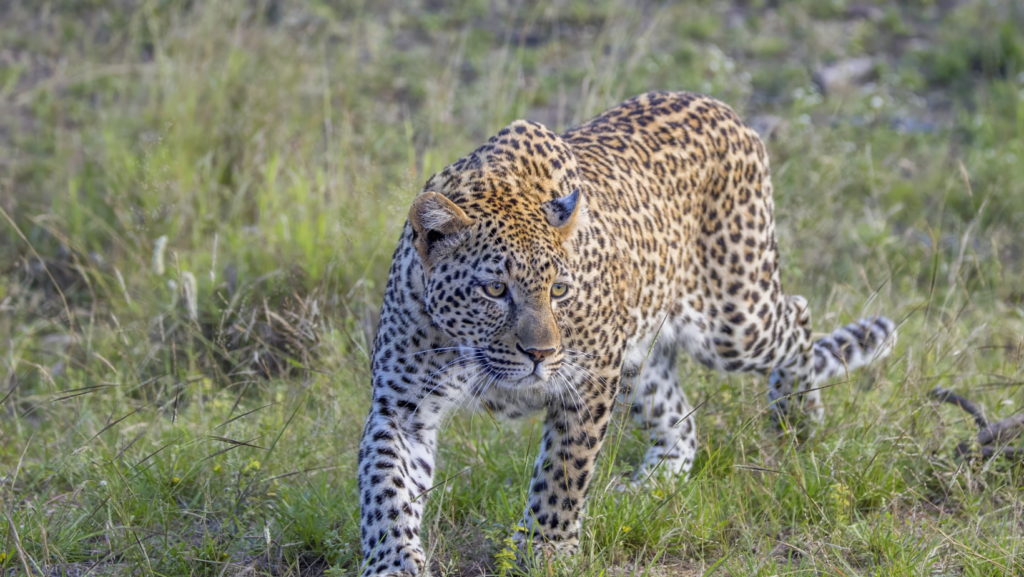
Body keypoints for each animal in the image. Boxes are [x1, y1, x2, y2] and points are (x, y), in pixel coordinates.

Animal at [356, 91, 897, 576]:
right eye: (493, 289)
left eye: (559, 289)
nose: (540, 353)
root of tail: (722, 107)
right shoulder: (401, 408)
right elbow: (385, 488)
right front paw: (393, 563)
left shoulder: (588, 379)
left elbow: (563, 472)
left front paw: (546, 549)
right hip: (645, 352)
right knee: (681, 426)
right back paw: (646, 487)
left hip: (734, 320)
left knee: (798, 314)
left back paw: (798, 414)